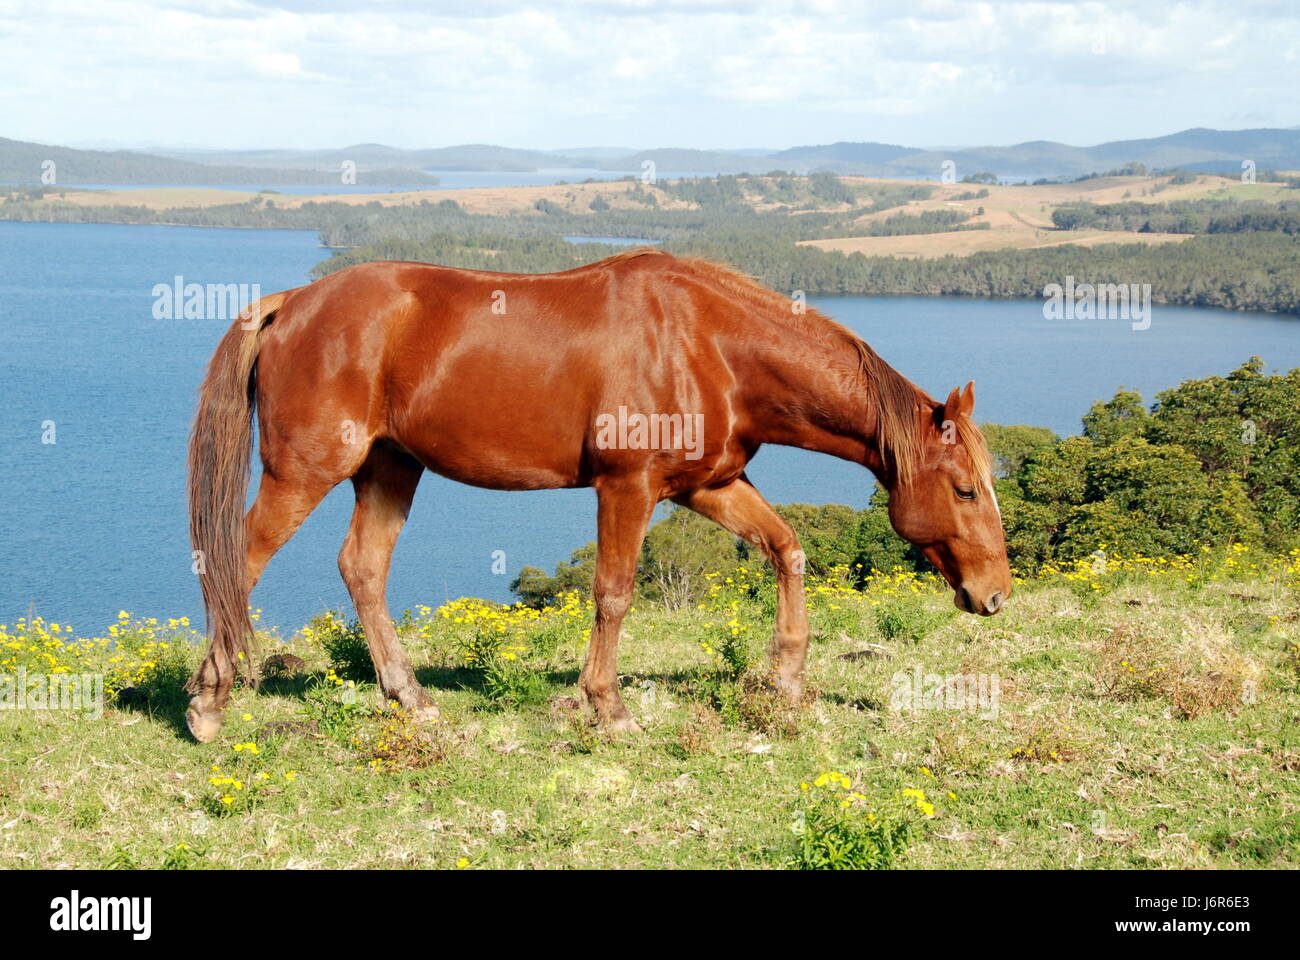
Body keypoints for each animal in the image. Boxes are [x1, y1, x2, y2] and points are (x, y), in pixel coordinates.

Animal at [184, 249, 1011, 742]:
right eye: (966, 488)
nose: (996, 594)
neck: (709, 343)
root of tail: (293, 301)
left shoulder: (710, 485)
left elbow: (788, 550)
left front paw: (785, 676)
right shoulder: (629, 487)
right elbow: (614, 594)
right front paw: (606, 705)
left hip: (390, 467)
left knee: (362, 567)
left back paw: (407, 694)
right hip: (307, 471)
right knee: (237, 562)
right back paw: (206, 703)